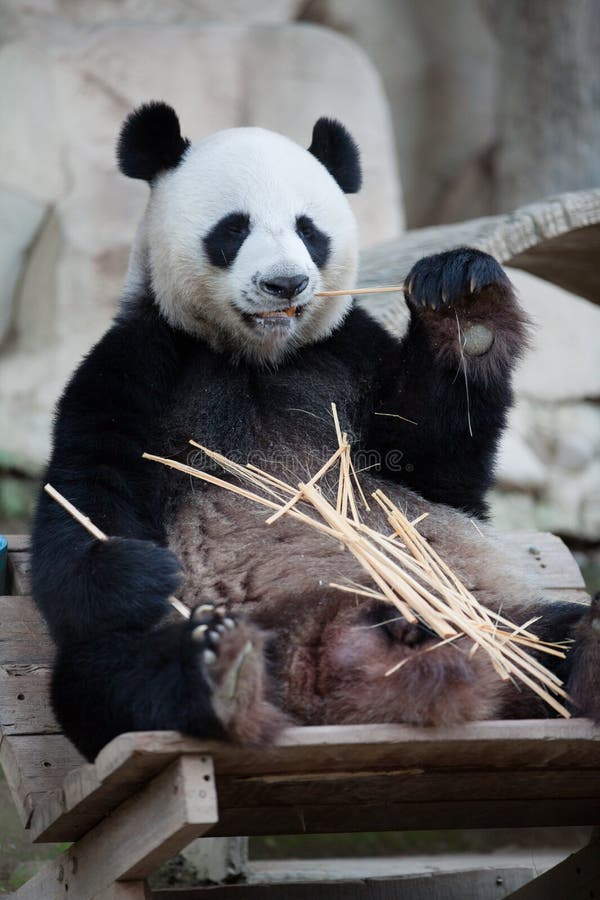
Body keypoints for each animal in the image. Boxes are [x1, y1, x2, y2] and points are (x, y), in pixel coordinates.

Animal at [31, 102, 600, 762]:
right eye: (233, 229)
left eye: (309, 231)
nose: (285, 283)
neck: (259, 358)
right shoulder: (139, 358)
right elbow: (87, 490)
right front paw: (138, 571)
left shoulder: (348, 353)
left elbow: (436, 468)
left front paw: (465, 305)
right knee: (107, 673)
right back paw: (219, 671)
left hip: (486, 611)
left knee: (546, 632)